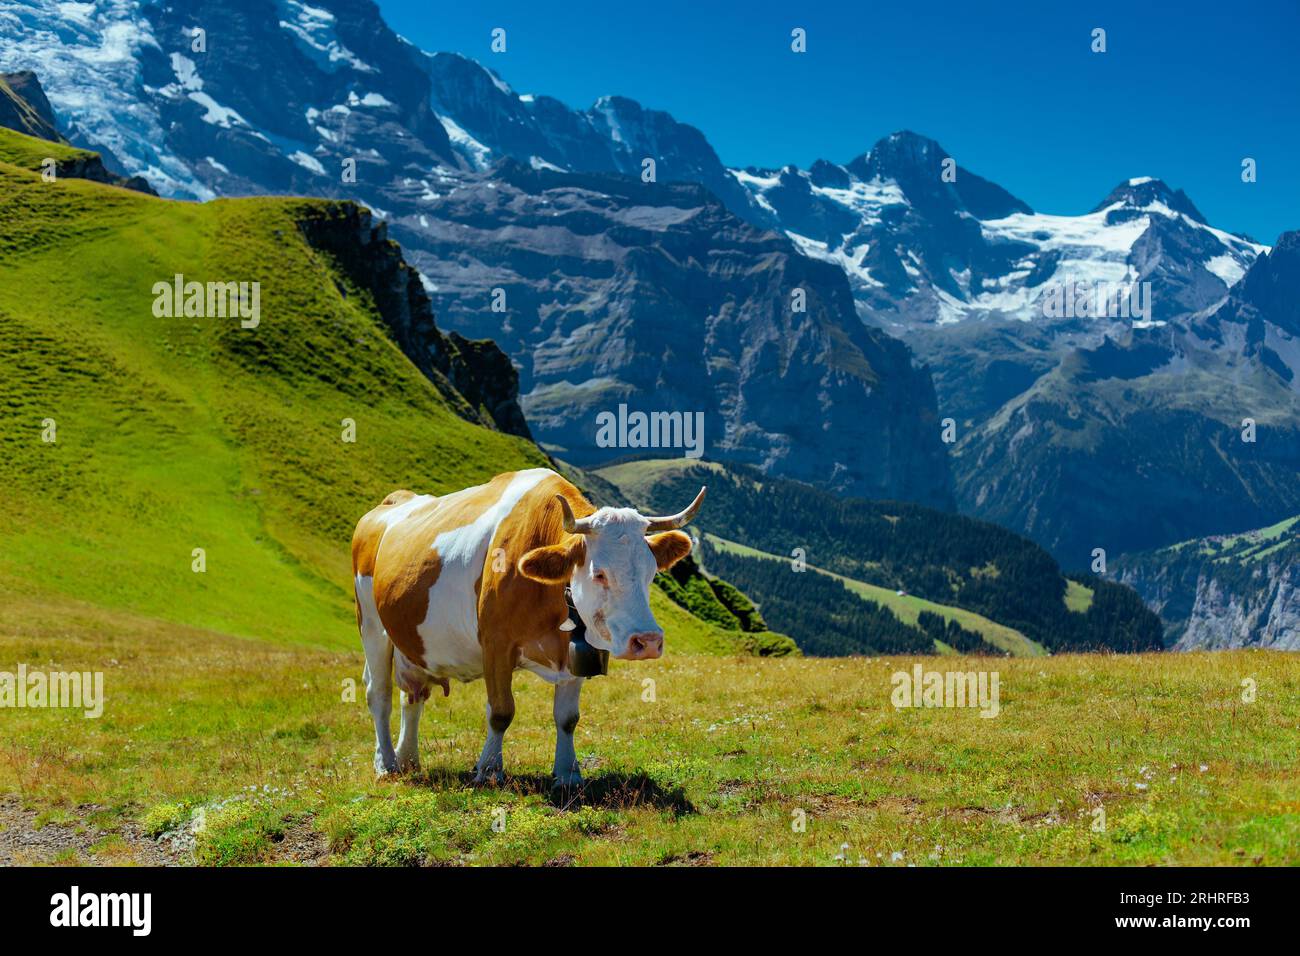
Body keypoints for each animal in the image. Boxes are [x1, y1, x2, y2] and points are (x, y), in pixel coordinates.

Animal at [350, 468, 704, 787]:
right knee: (378, 693)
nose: (648, 641)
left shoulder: (575, 652)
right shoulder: (495, 642)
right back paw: (386, 764)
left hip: (413, 642)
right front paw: (489, 770)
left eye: (651, 572)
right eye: (599, 573)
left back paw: (408, 759)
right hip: (372, 626)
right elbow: (501, 711)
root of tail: (390, 503)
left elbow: (568, 718)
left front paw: (568, 773)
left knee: (412, 695)